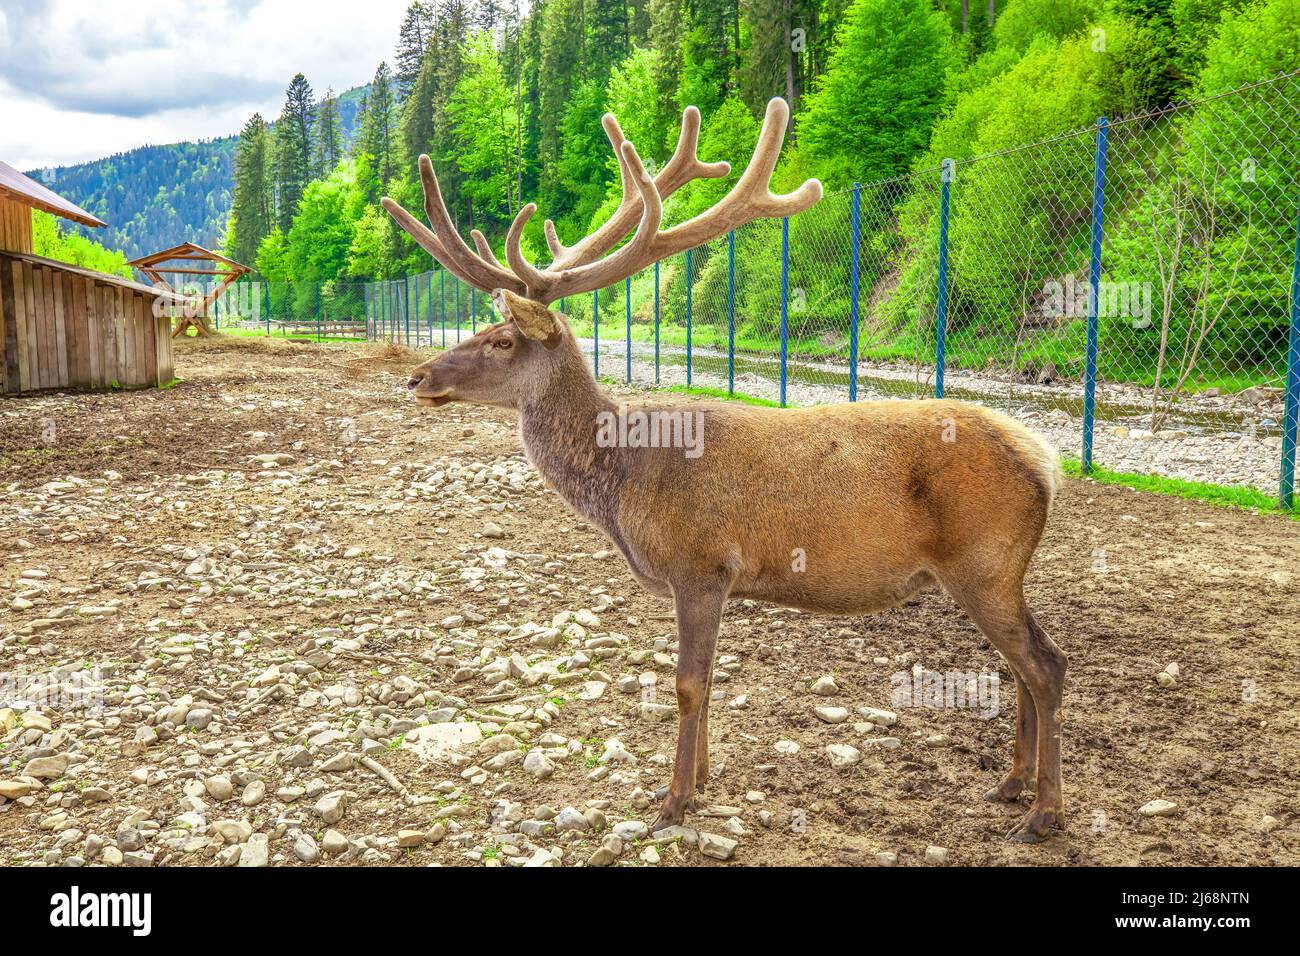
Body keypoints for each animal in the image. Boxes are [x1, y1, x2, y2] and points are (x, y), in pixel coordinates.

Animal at [382, 98, 1068, 843]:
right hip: (994, 572)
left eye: (503, 340)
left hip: (984, 562)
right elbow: (708, 681)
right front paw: (704, 780)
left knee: (1045, 666)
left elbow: (687, 684)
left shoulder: (701, 565)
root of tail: (1045, 461)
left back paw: (1044, 812)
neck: (624, 481)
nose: (417, 378)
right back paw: (1009, 785)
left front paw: (674, 800)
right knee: (1025, 665)